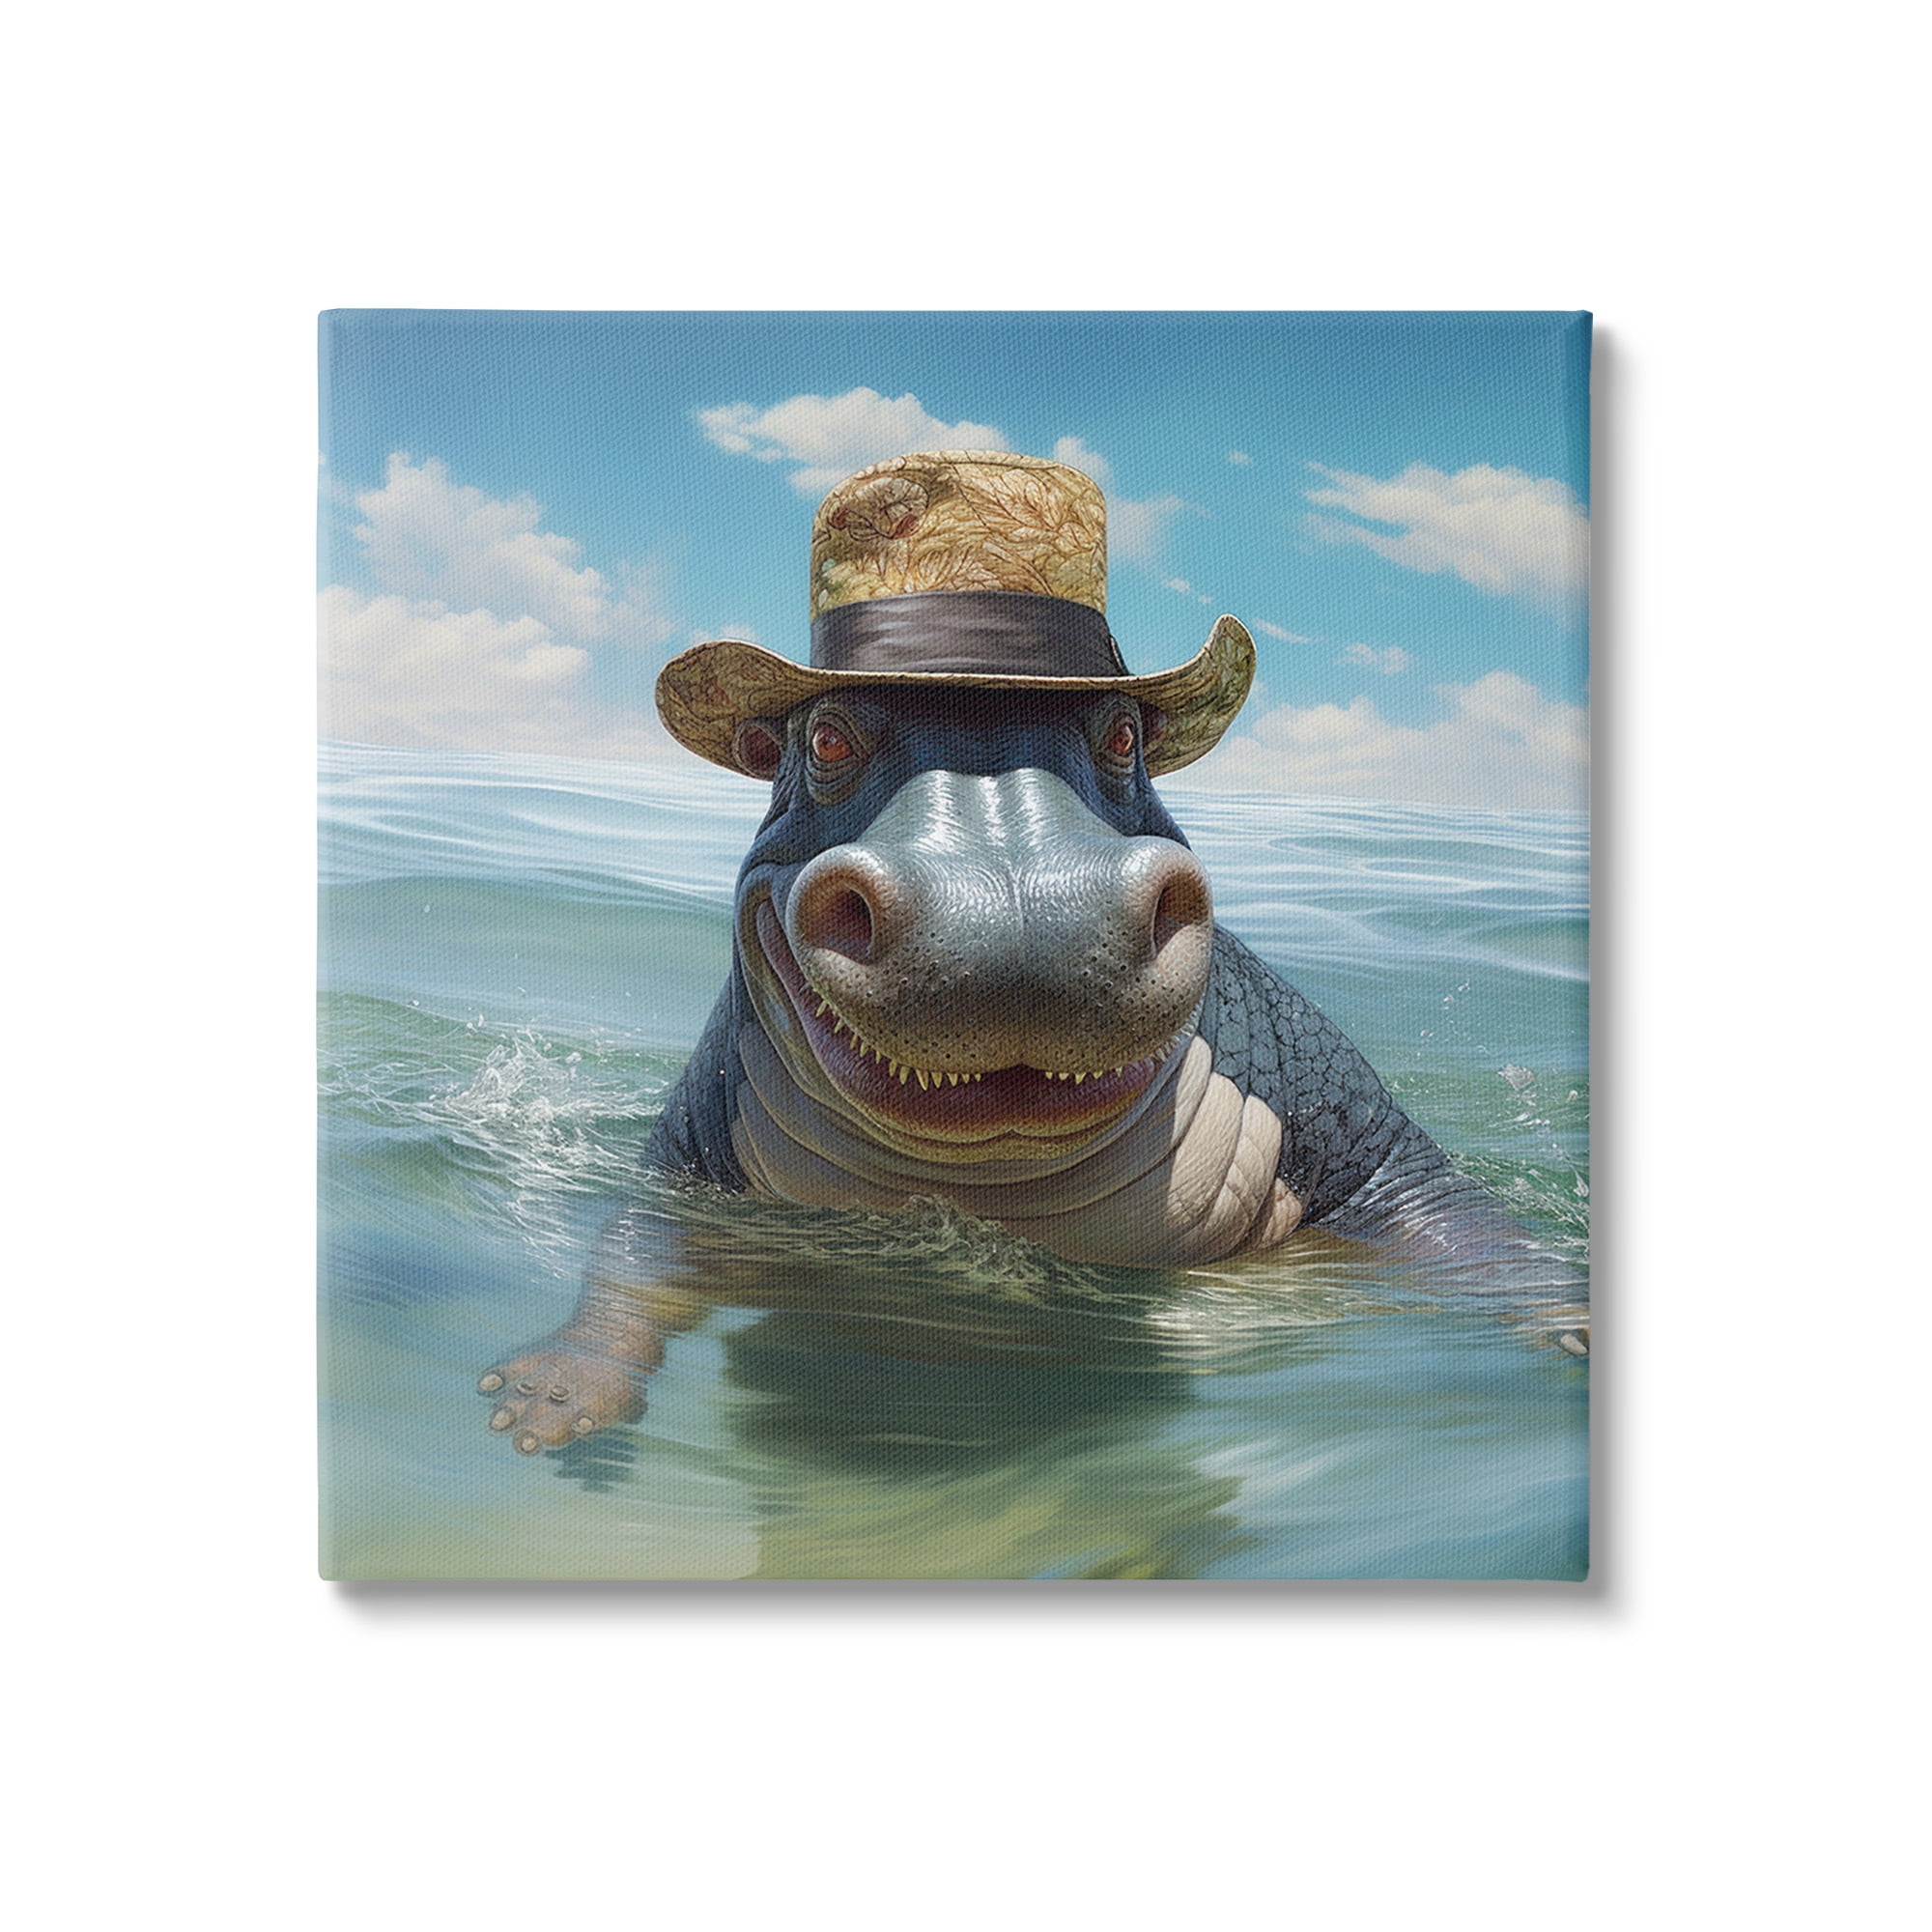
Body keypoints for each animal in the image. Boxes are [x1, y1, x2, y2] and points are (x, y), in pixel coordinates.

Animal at [478, 451, 1559, 1453]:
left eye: (1124, 732)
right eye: (821, 738)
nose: (1017, 908)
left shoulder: (1374, 1148)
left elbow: (1471, 1231)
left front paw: (1571, 1328)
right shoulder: (685, 1172)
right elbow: (634, 1256)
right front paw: (545, 1402)